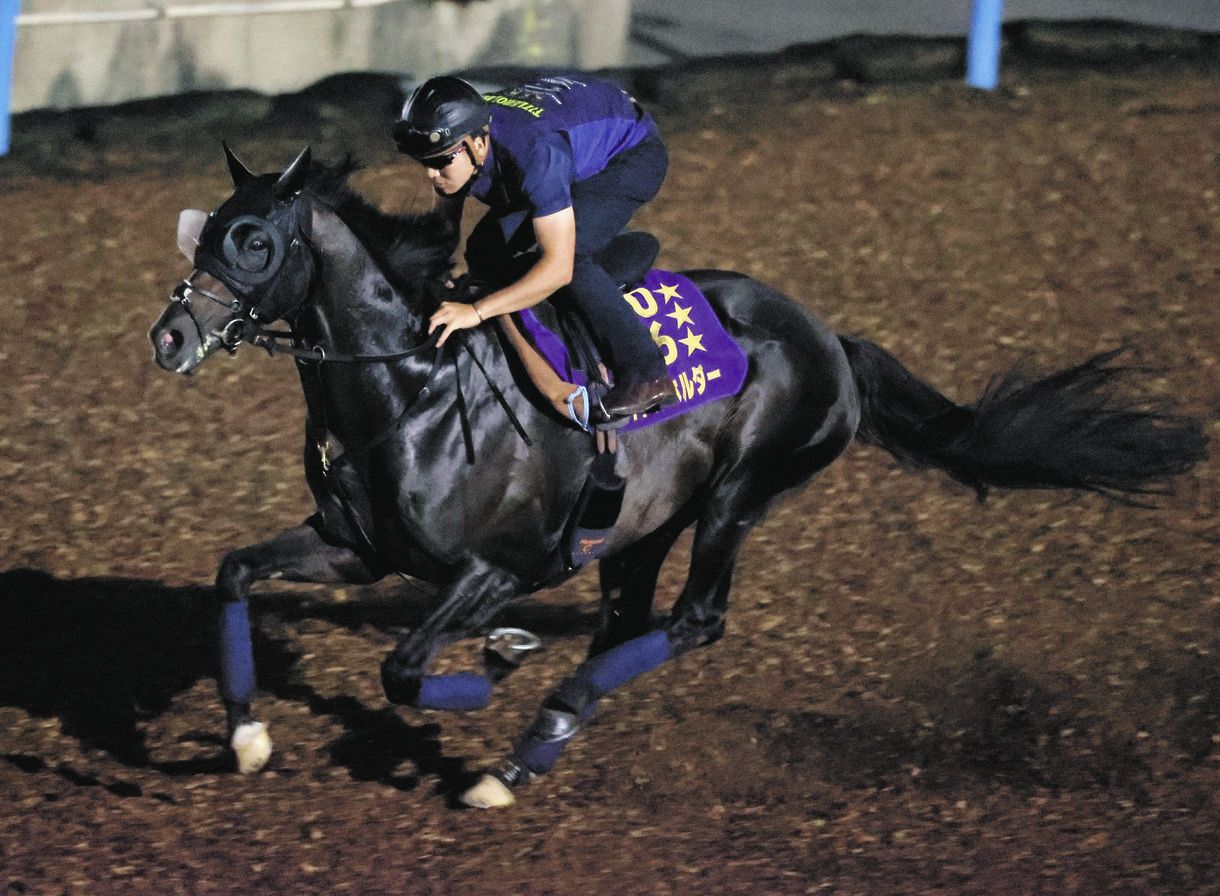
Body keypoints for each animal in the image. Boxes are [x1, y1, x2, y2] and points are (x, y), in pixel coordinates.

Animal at [148, 146, 1207, 808]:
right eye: (206, 229)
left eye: (256, 241)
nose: (169, 335)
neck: (412, 389)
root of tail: (832, 339)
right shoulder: (356, 549)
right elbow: (235, 571)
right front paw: (243, 734)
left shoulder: (495, 566)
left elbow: (404, 668)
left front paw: (498, 662)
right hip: (642, 525)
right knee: (628, 624)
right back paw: (530, 750)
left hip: (741, 496)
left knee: (694, 621)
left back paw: (528, 728)